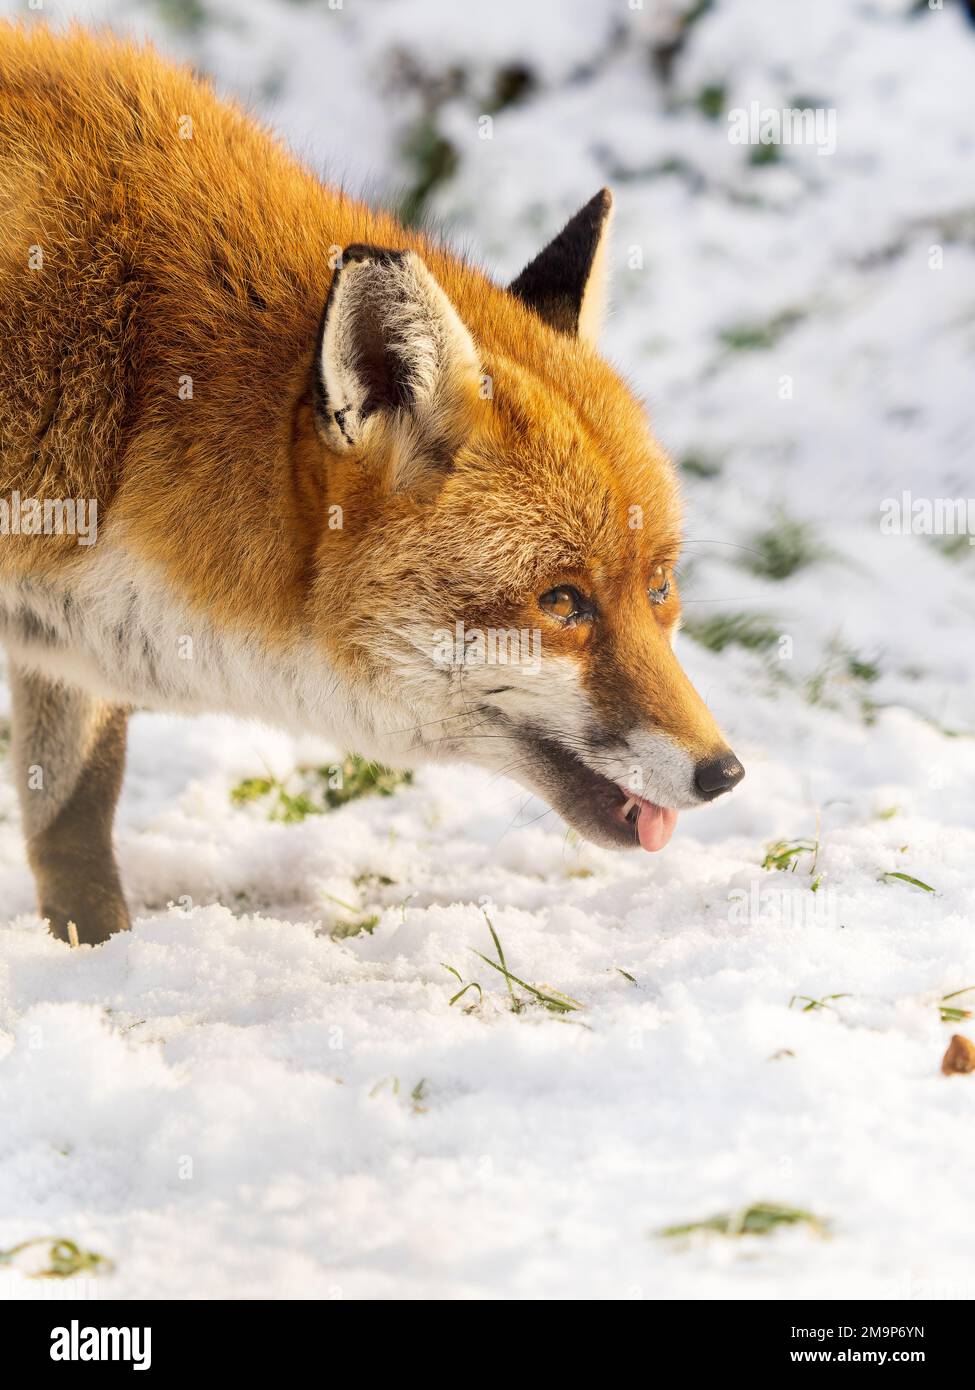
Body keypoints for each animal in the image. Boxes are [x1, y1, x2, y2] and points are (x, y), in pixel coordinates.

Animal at [0, 23, 744, 945]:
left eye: (660, 587)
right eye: (562, 601)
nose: (723, 773)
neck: (119, 392)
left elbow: (72, 814)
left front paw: (96, 951)